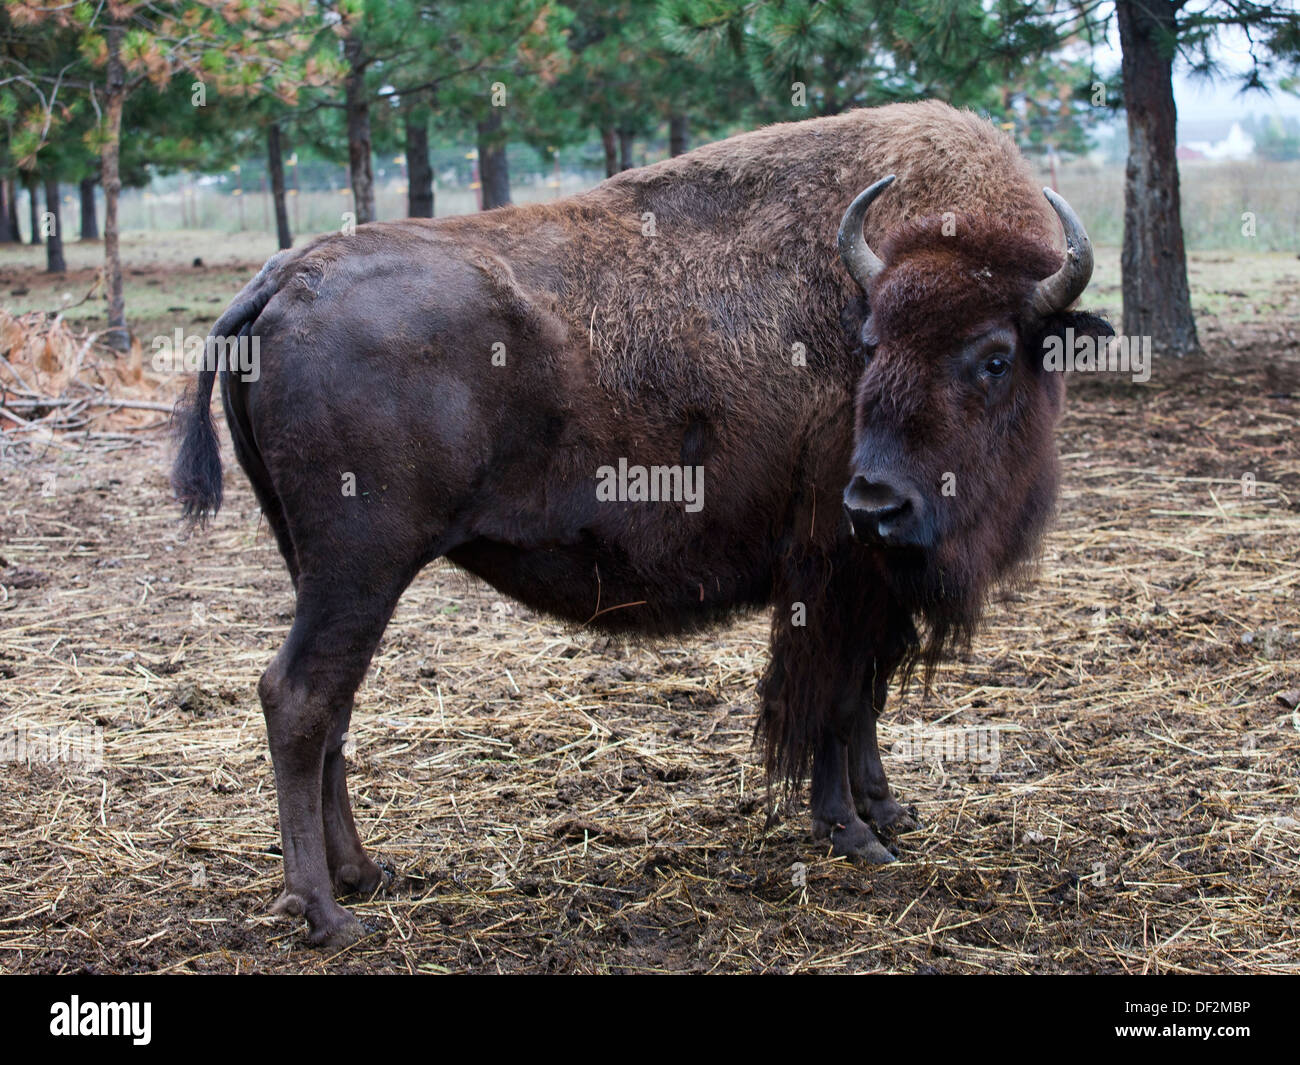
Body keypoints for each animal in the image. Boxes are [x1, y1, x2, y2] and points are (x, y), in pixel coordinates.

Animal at [173, 99, 1113, 947]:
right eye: (873, 342)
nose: (879, 500)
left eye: (995, 356)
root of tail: (284, 277)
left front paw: (889, 808)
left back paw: (366, 875)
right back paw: (325, 913)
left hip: (322, 569)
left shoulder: (878, 588)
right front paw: (851, 831)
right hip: (361, 567)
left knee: (333, 704)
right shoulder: (838, 574)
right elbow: (834, 700)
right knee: (300, 697)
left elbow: (867, 699)